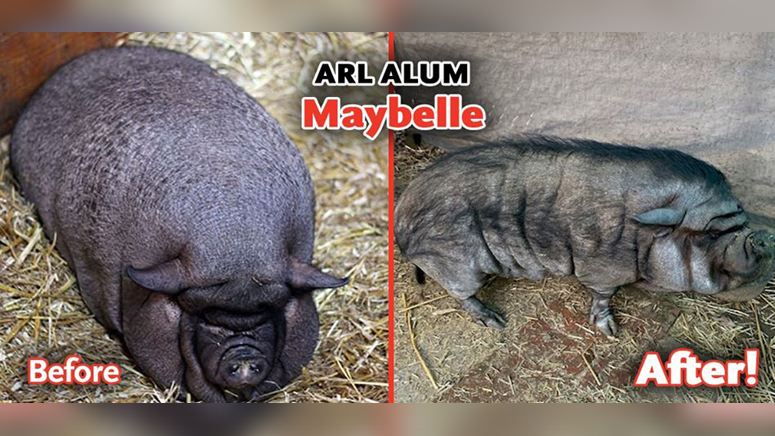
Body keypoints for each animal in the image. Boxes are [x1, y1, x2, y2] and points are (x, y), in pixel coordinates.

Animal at [395, 137, 775, 336]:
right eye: (710, 233)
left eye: (741, 219)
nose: (764, 237)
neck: (640, 236)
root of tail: (400, 221)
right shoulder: (602, 265)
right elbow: (603, 295)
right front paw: (611, 331)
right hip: (453, 262)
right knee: (462, 293)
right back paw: (496, 322)